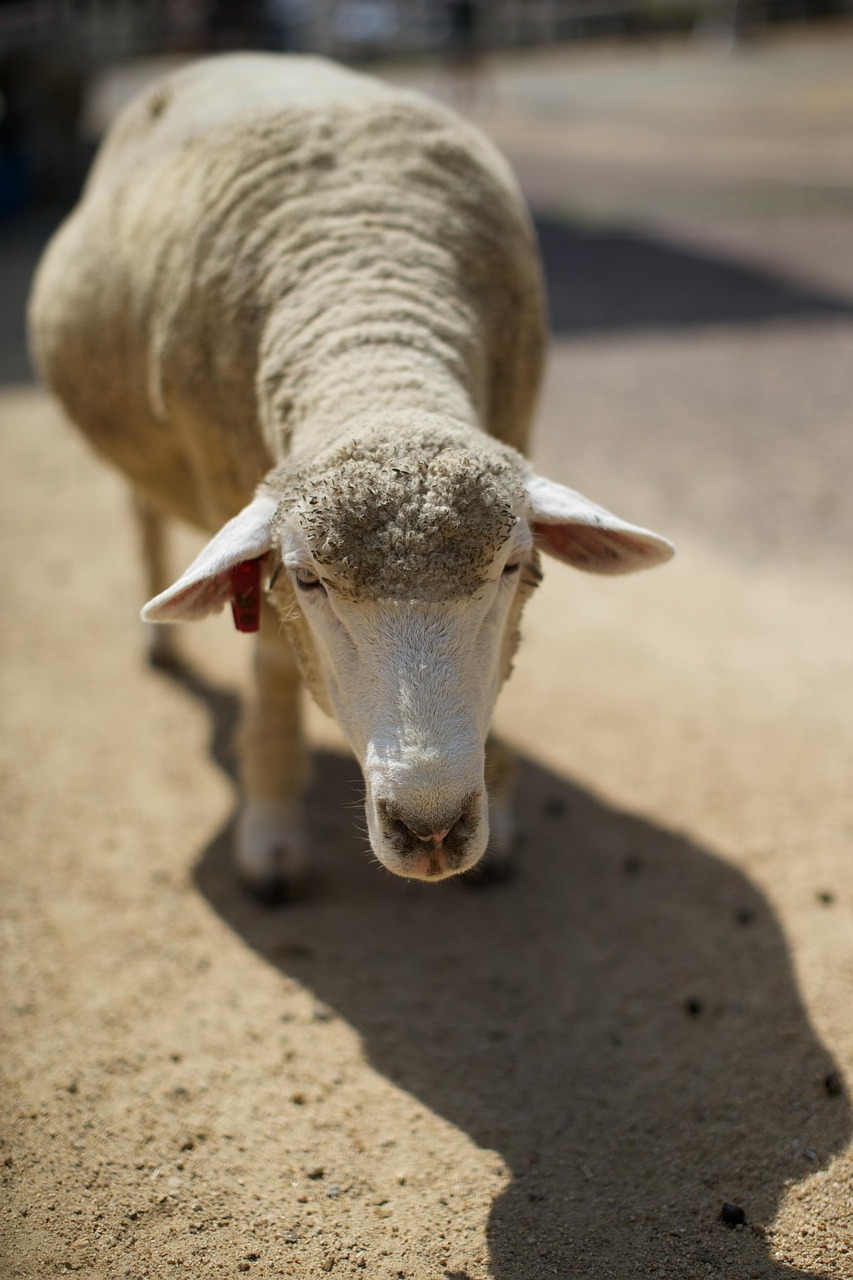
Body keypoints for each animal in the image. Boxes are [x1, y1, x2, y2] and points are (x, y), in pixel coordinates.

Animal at [29, 53, 674, 902]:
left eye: (511, 567)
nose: (431, 828)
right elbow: (272, 665)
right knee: (142, 513)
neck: (370, 323)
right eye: (308, 580)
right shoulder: (237, 501)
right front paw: (271, 830)